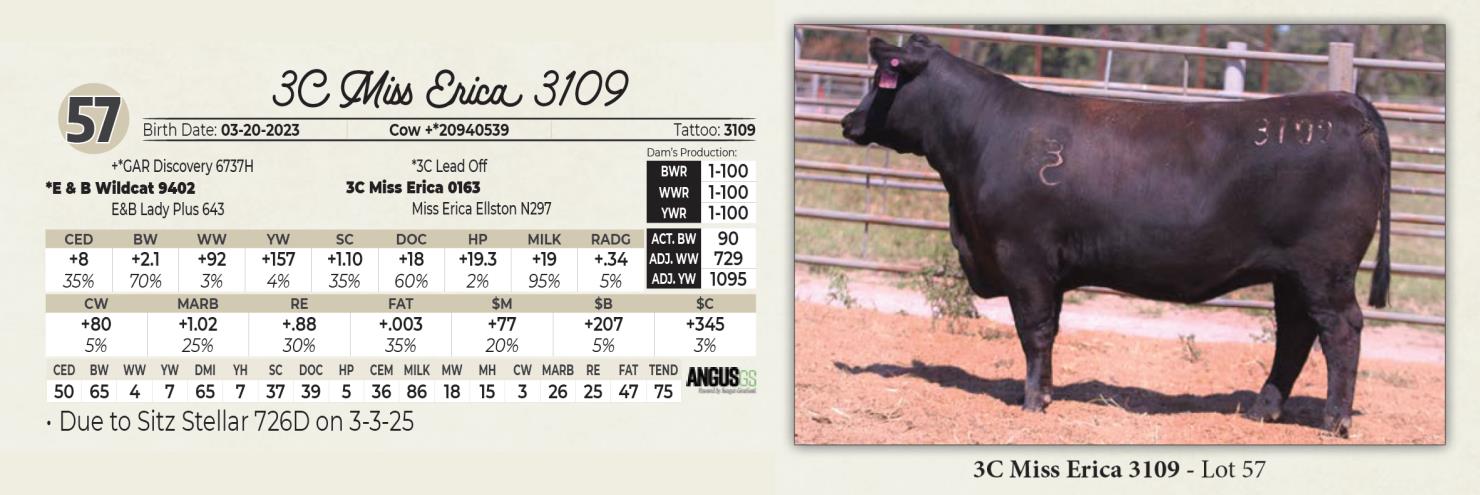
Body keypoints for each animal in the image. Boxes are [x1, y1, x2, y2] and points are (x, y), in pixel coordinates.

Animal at [840, 35, 1391, 437]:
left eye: (881, 81)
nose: (848, 121)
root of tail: (1345, 104)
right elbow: (1047, 331)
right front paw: (1042, 394)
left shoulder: (1025, 259)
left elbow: (1034, 332)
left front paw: (1033, 402)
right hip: (1291, 274)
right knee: (1295, 333)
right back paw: (1263, 410)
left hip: (1323, 269)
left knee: (1340, 330)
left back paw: (1334, 421)